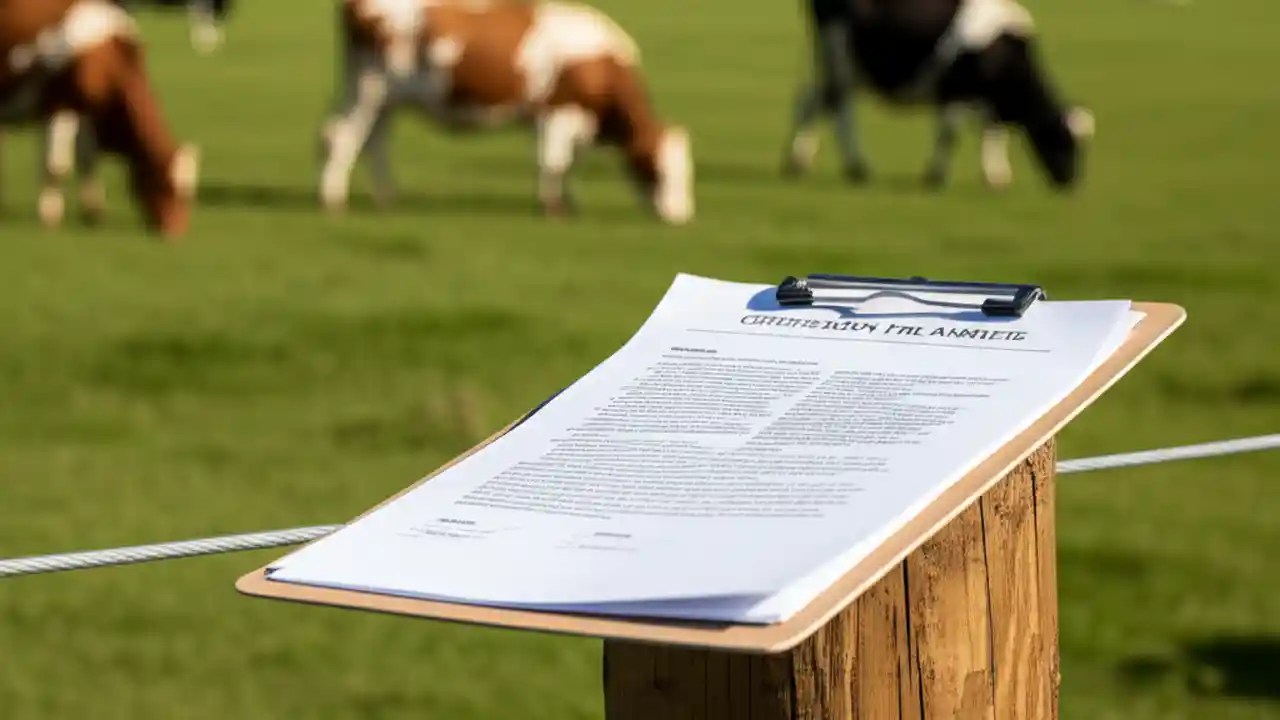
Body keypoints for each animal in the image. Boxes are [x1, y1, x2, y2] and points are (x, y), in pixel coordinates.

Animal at [0, 0, 200, 237]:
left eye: (188, 193)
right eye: (164, 184)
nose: (175, 233)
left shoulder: (86, 112)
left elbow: (86, 159)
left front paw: (93, 212)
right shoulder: (60, 107)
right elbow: (56, 165)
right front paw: (50, 217)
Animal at [319, 0, 695, 225]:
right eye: (656, 169)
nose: (681, 217)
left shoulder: (576, 121)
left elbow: (572, 163)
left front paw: (570, 204)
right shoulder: (556, 114)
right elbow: (554, 163)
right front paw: (552, 210)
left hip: (385, 99)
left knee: (373, 142)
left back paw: (386, 199)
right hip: (369, 87)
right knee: (343, 135)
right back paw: (334, 202)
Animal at [780, 0, 1096, 190]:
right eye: (1061, 140)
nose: (1071, 182)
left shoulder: (990, 102)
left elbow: (993, 135)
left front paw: (996, 178)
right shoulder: (953, 92)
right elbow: (949, 134)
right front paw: (935, 176)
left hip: (844, 69)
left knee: (808, 104)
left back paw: (797, 162)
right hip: (841, 61)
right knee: (840, 110)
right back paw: (857, 167)